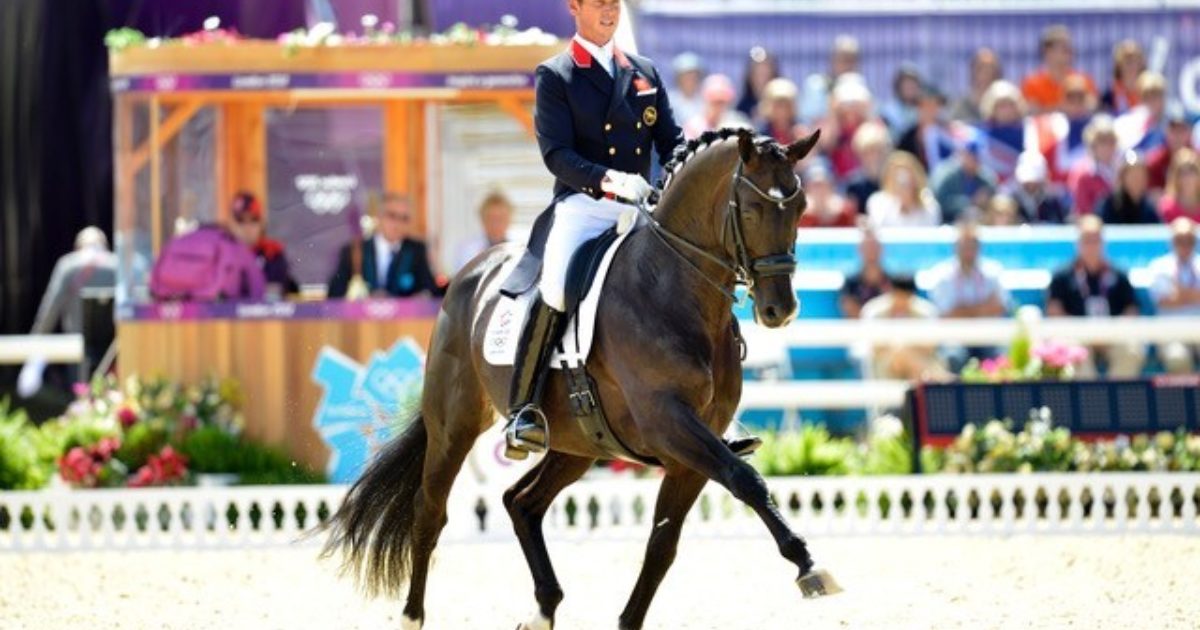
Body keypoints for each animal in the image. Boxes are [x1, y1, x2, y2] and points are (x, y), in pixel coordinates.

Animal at [321, 127, 834, 630]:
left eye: (801, 208)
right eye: (749, 208)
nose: (780, 310)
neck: (673, 289)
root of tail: (471, 272)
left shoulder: (690, 449)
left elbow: (663, 544)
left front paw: (629, 620)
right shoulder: (668, 424)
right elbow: (745, 479)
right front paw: (808, 564)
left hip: (578, 444)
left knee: (521, 502)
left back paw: (544, 607)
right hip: (455, 423)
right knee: (430, 512)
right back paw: (413, 615)